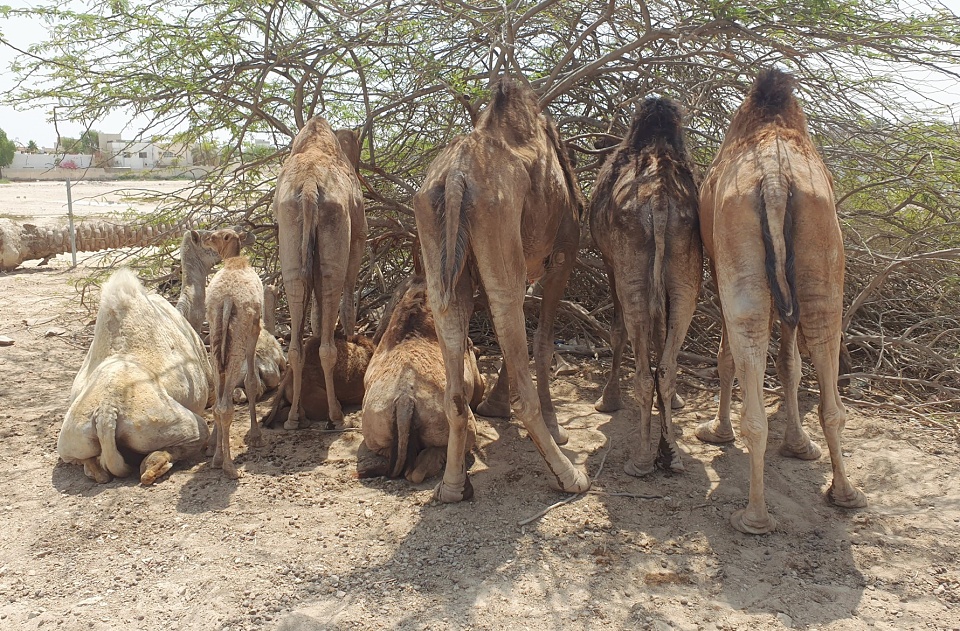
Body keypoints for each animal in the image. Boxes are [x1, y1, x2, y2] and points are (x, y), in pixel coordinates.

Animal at [57, 268, 213, 485]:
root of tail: (106, 414)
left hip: (70, 440)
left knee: (84, 461)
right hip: (160, 421)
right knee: (198, 433)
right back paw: (154, 465)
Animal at [274, 118, 366, 431]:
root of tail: (310, 188)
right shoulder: (358, 238)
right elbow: (349, 300)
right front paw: (352, 339)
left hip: (290, 244)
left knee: (296, 344)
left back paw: (294, 417)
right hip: (334, 242)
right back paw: (335, 415)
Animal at [412, 77, 590, 501]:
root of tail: (457, 178)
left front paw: (495, 407)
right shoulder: (562, 257)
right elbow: (542, 341)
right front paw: (556, 426)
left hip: (437, 244)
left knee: (454, 374)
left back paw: (452, 486)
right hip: (498, 221)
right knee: (506, 305)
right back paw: (569, 476)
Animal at [589, 97, 702, 476]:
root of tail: (660, 199)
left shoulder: (610, 264)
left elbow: (616, 330)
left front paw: (607, 400)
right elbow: (660, 335)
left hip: (632, 271)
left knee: (641, 366)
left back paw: (640, 460)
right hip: (687, 273)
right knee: (666, 366)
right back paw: (670, 455)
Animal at [697, 68, 867, 534]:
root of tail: (774, 182)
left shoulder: (717, 264)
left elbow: (745, 358)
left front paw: (717, 432)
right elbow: (790, 362)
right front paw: (797, 444)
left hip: (752, 254)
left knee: (749, 340)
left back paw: (754, 515)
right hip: (820, 250)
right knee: (823, 338)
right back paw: (843, 494)